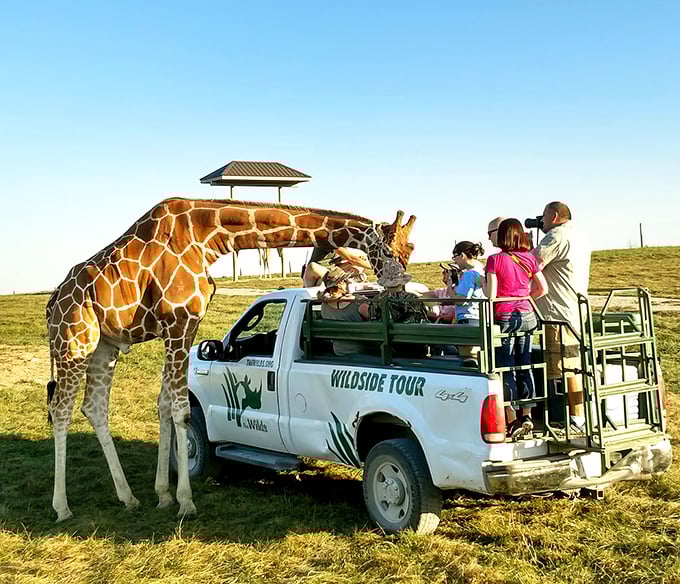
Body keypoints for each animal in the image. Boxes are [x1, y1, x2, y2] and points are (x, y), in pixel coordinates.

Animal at [45, 197, 415, 521]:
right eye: (386, 251)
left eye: (409, 251)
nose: (401, 294)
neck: (207, 237)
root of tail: (52, 303)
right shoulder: (179, 323)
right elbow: (180, 410)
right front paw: (185, 502)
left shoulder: (180, 327)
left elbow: (164, 406)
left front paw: (163, 495)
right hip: (74, 340)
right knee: (61, 409)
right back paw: (62, 508)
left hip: (104, 346)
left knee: (93, 407)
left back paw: (128, 497)